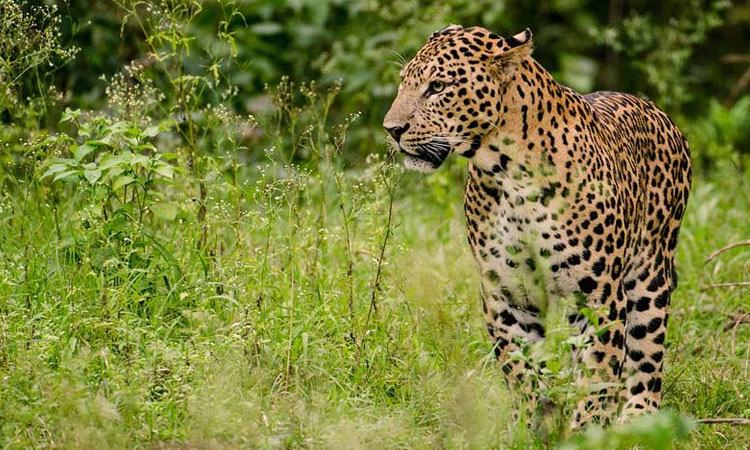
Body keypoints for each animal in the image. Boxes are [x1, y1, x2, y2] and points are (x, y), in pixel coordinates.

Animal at [383, 25, 691, 428]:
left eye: (437, 87)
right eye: (404, 82)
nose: (391, 129)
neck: (507, 173)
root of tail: (657, 111)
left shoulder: (599, 296)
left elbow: (597, 375)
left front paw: (586, 431)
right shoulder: (508, 294)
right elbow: (521, 371)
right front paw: (530, 427)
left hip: (649, 277)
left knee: (646, 361)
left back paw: (637, 420)